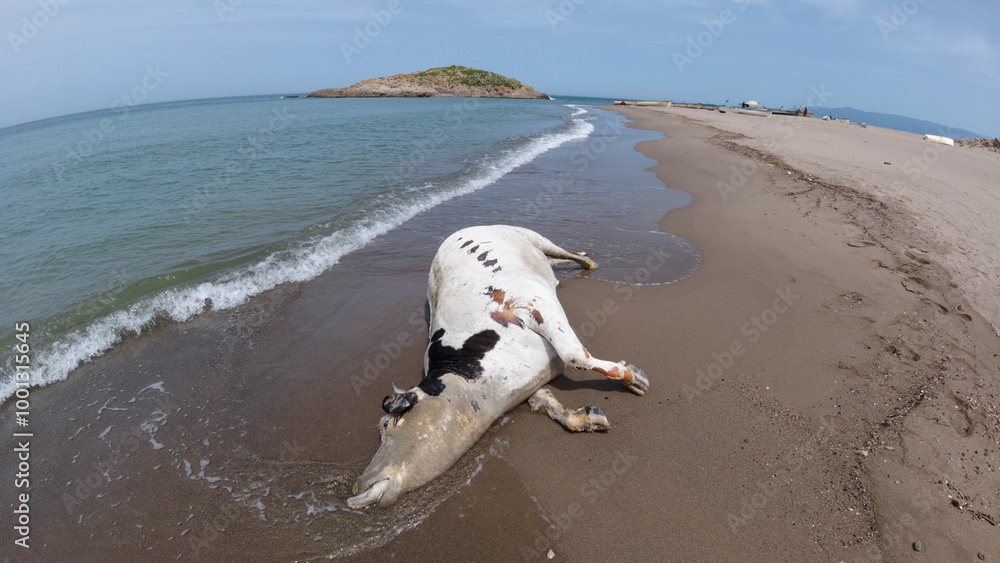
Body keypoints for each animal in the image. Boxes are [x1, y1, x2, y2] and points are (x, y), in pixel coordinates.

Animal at [348, 225, 649, 508]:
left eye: (386, 424)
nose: (358, 485)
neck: (469, 369)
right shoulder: (529, 378)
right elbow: (545, 402)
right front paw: (586, 417)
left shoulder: (532, 301)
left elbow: (575, 355)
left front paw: (633, 377)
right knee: (555, 260)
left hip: (531, 235)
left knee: (566, 254)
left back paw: (589, 263)